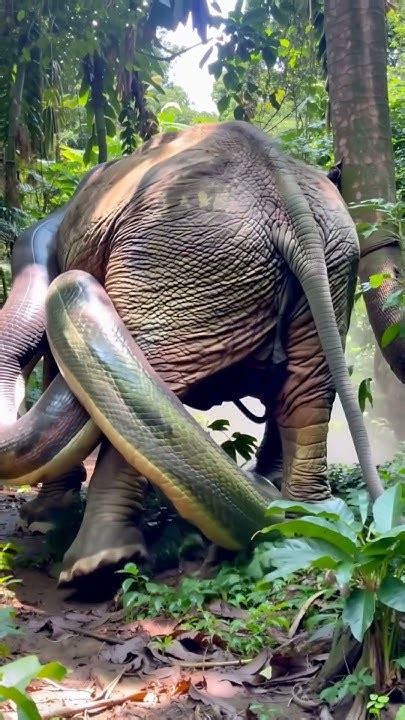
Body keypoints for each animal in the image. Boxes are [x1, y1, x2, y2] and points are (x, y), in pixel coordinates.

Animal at [0, 121, 383, 591]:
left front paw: (41, 521)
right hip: (327, 265)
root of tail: (282, 182)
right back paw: (307, 518)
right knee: (307, 395)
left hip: (181, 253)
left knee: (142, 398)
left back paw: (94, 566)